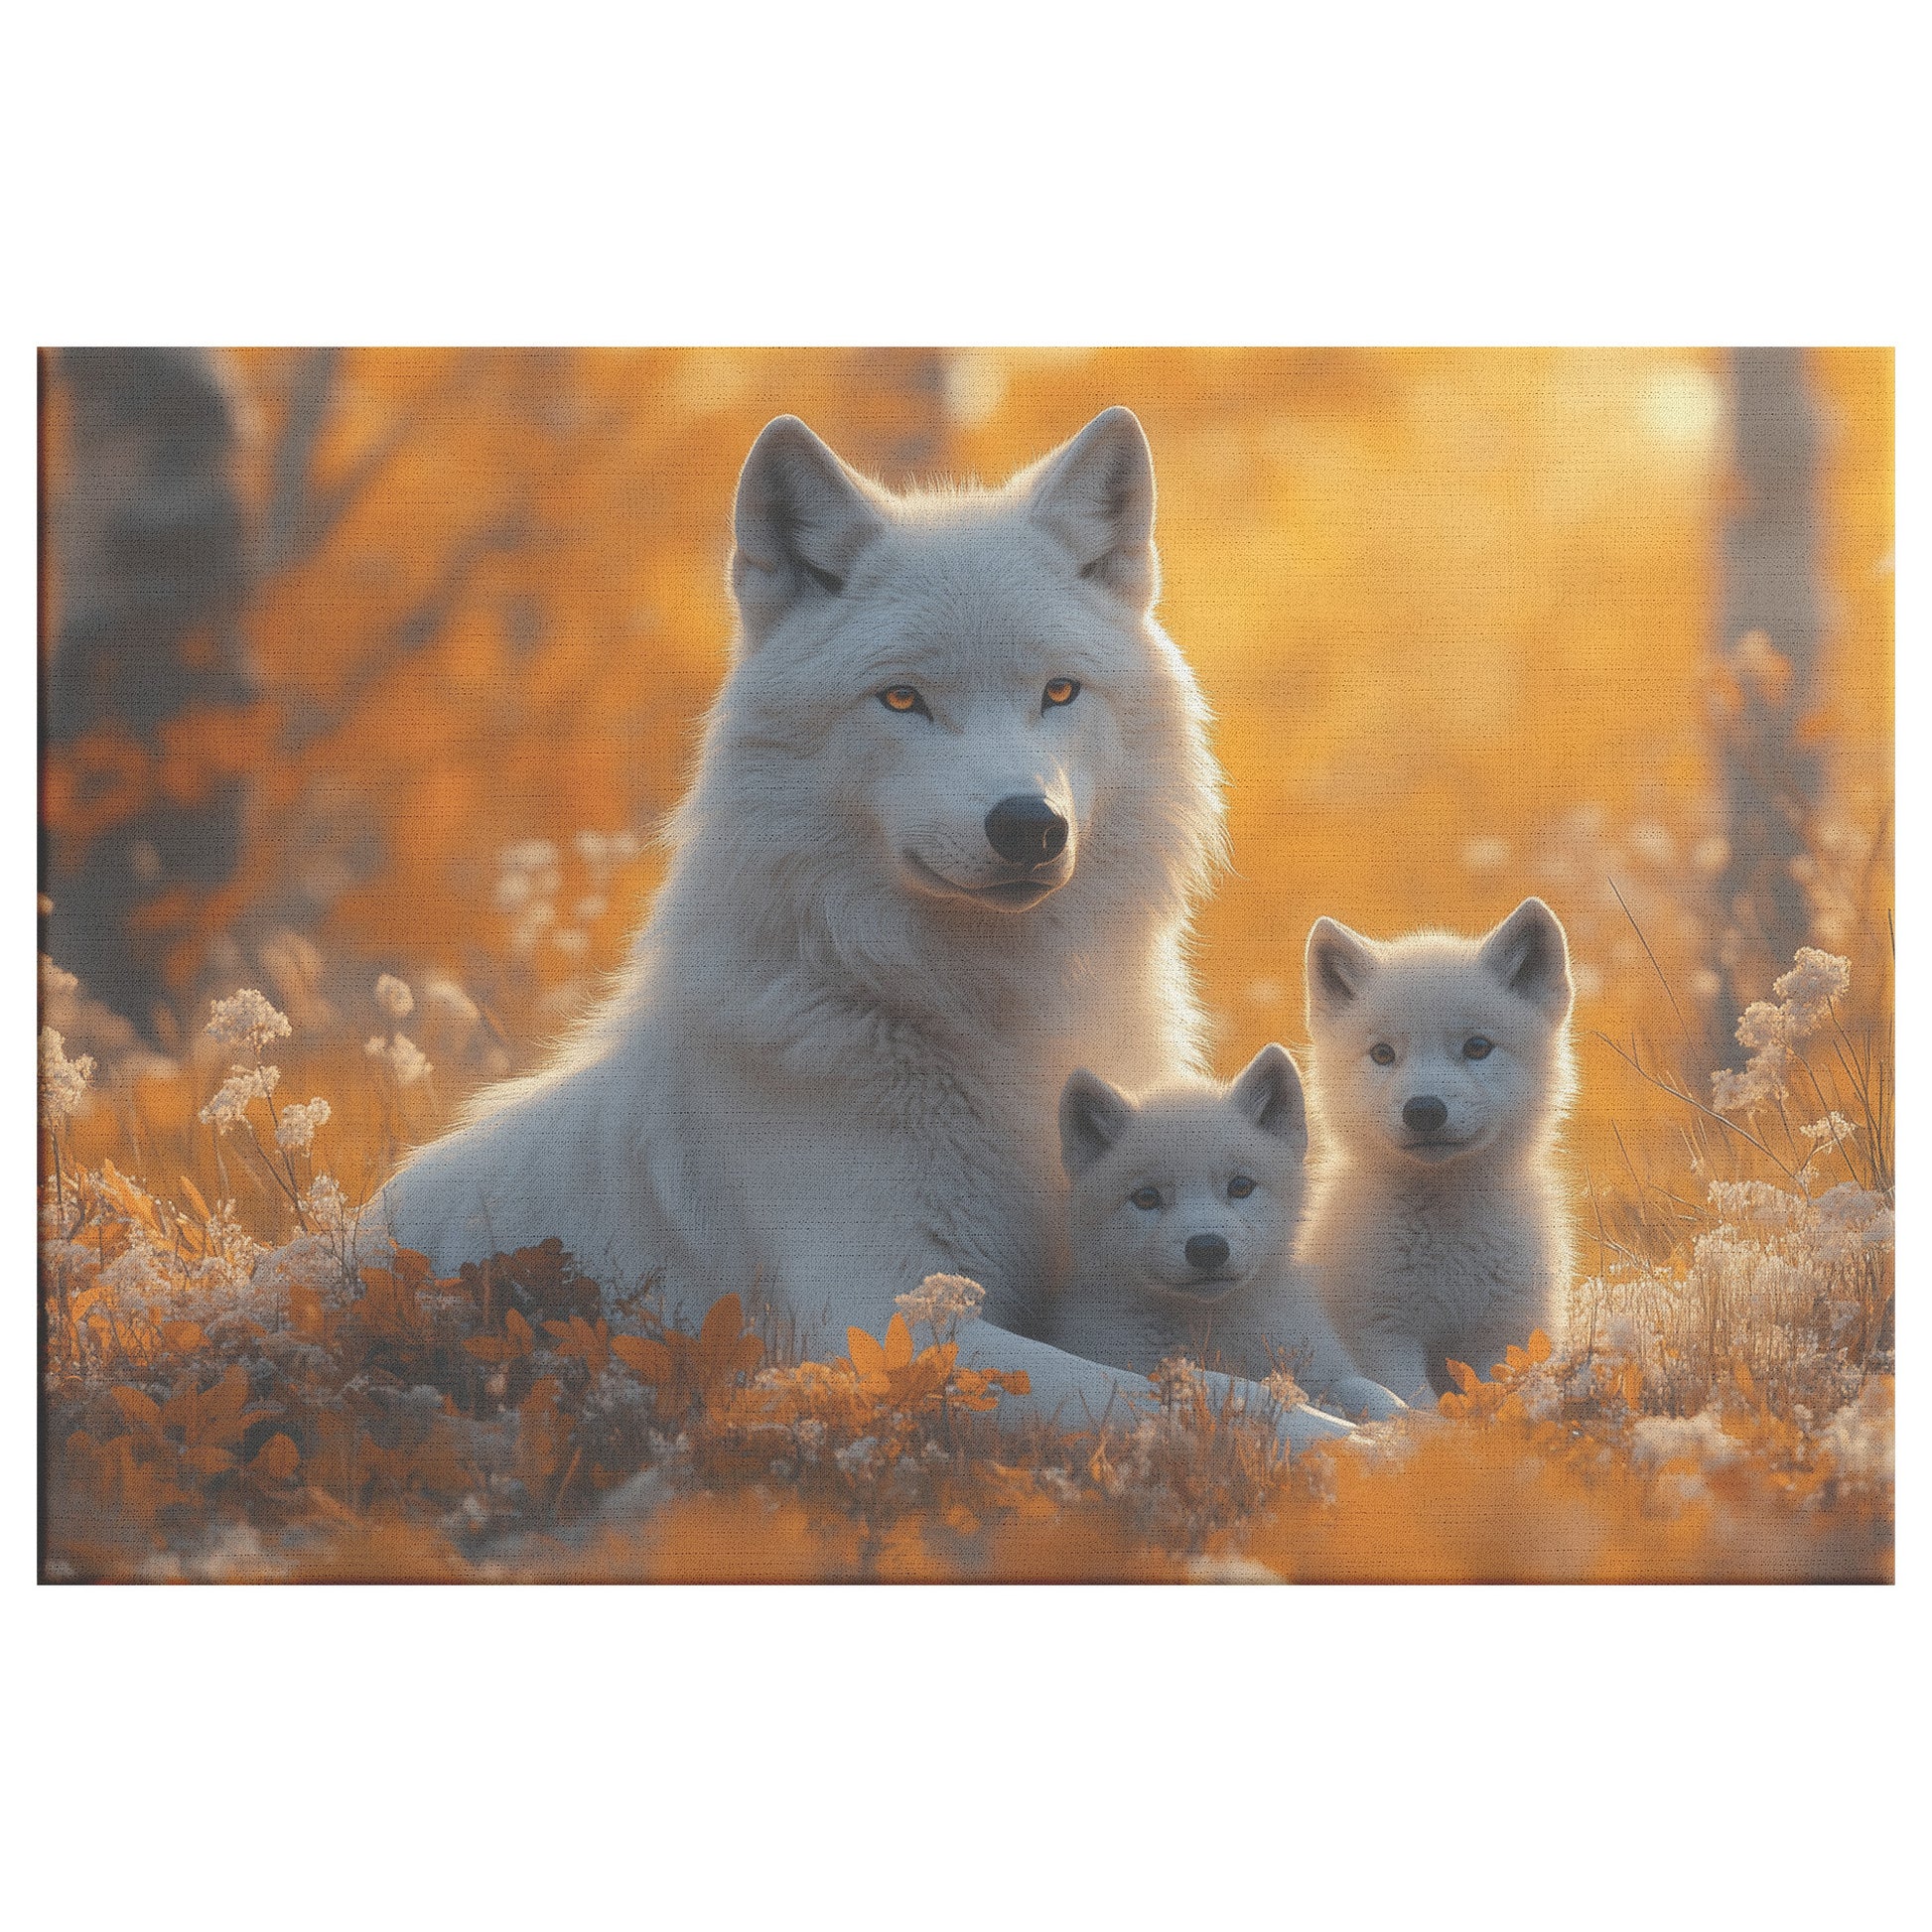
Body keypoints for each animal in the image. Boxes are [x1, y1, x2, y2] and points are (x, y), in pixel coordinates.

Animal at [374, 407, 1355, 1448]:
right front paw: (1372, 1454)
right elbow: (1202, 1397)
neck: (996, 1023)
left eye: (1058, 692)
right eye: (902, 698)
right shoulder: (878, 1321)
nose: (1028, 825)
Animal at [1052, 1045, 1405, 1420]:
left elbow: (1369, 1390)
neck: (1212, 1322)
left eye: (1240, 1186)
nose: (1207, 1248)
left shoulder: (1324, 1365)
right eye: (1146, 1197)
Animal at [1298, 897, 1577, 1403]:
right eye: (1383, 1054)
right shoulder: (1382, 1334)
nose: (1424, 1109)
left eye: (1477, 1047)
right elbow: (1421, 1407)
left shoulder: (1501, 1336)